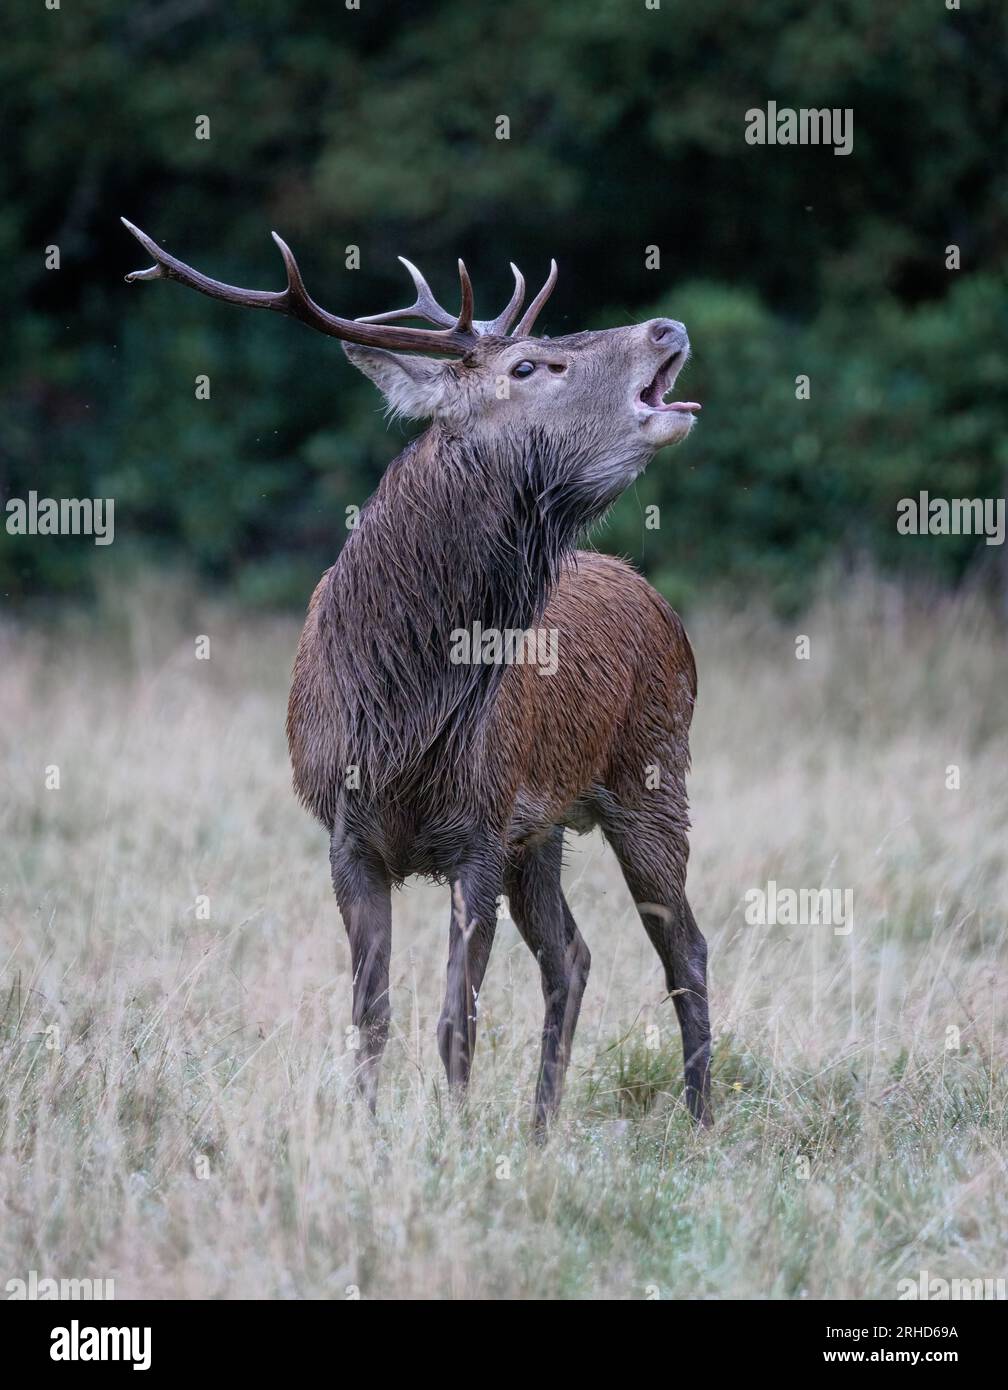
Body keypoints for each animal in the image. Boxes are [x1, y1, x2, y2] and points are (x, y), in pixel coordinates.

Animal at [121, 218, 714, 1132]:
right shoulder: (350, 834)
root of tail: (656, 598)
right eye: (529, 365)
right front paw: (365, 1131)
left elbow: (454, 1018)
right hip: (544, 828)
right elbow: (371, 1014)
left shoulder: (480, 828)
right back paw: (541, 1127)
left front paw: (458, 1134)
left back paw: (699, 1120)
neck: (401, 712)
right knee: (573, 955)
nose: (666, 326)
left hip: (653, 772)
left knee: (684, 943)